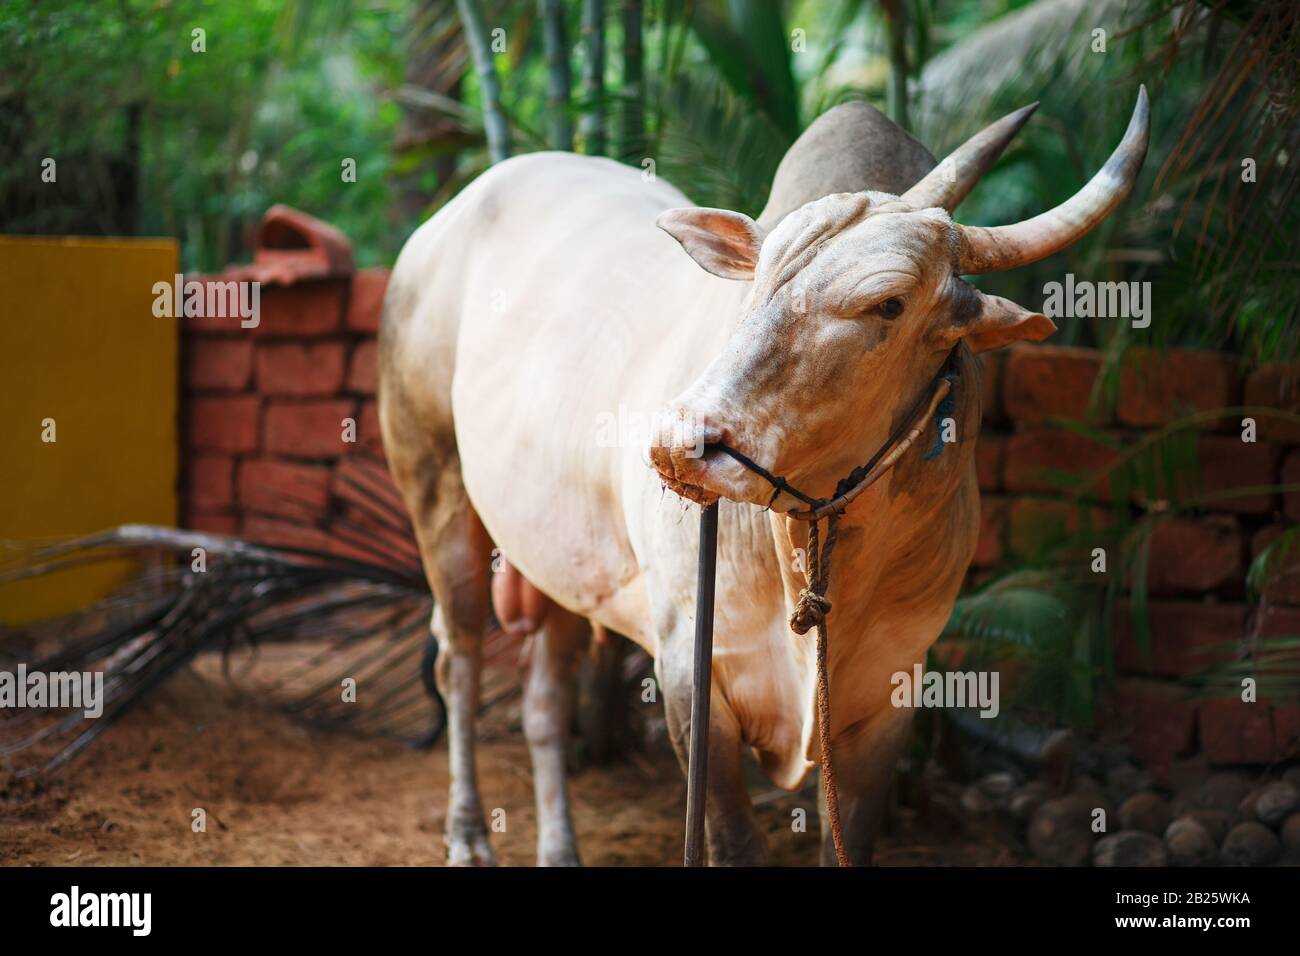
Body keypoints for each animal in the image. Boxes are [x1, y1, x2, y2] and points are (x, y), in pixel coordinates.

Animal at [378, 89, 1149, 866]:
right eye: (758, 279)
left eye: (890, 304)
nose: (680, 442)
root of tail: (446, 220)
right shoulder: (692, 672)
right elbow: (733, 840)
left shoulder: (888, 698)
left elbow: (848, 842)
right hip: (435, 491)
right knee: (459, 662)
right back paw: (468, 834)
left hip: (559, 555)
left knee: (544, 695)